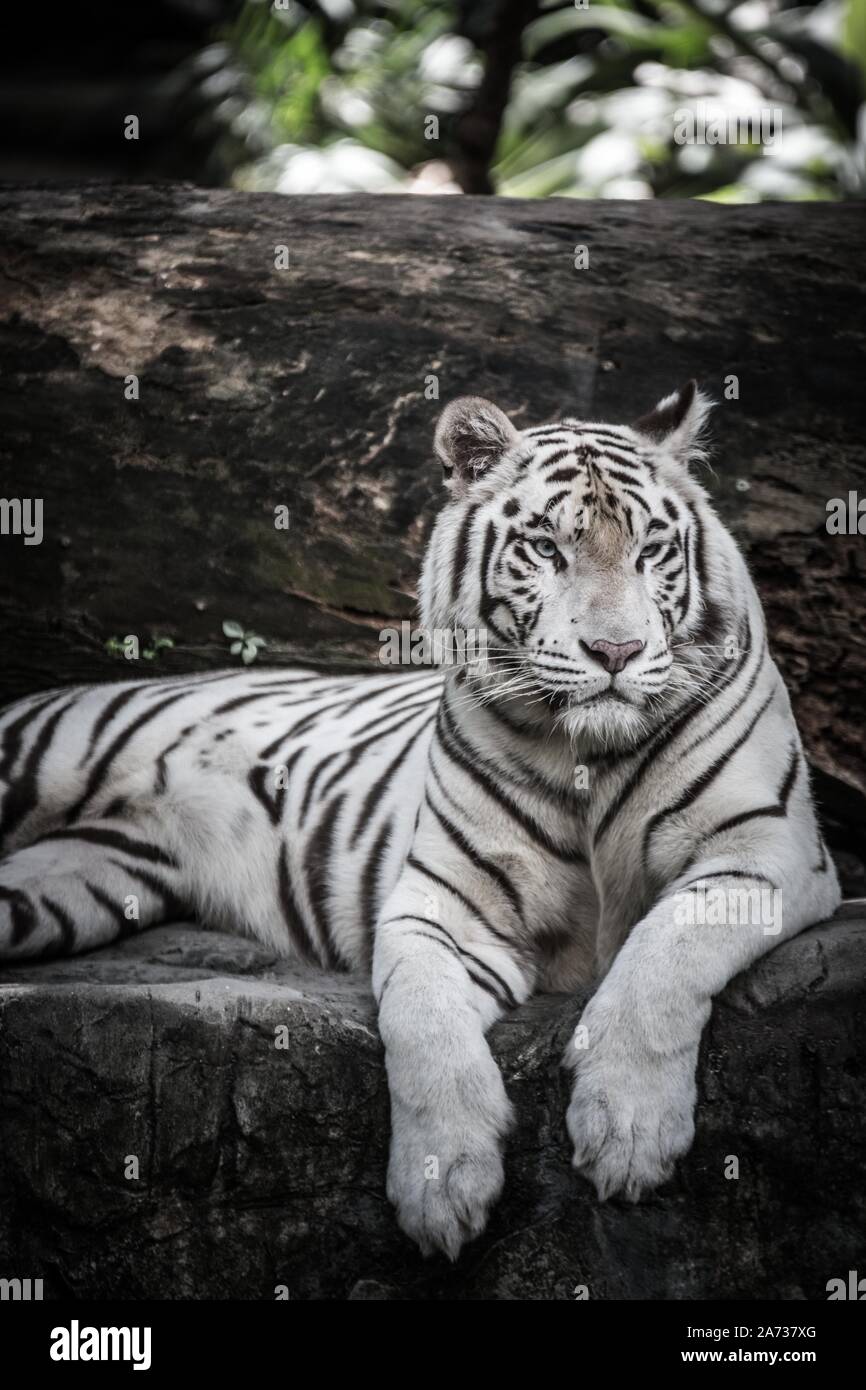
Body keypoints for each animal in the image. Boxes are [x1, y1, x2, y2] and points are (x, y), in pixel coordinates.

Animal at [0, 381, 841, 1259]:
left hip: (73, 884)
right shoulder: (444, 903)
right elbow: (422, 1017)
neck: (587, 754)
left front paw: (629, 1130)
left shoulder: (764, 843)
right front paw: (442, 1183)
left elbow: (663, 952)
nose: (616, 652)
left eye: (650, 550)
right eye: (547, 548)